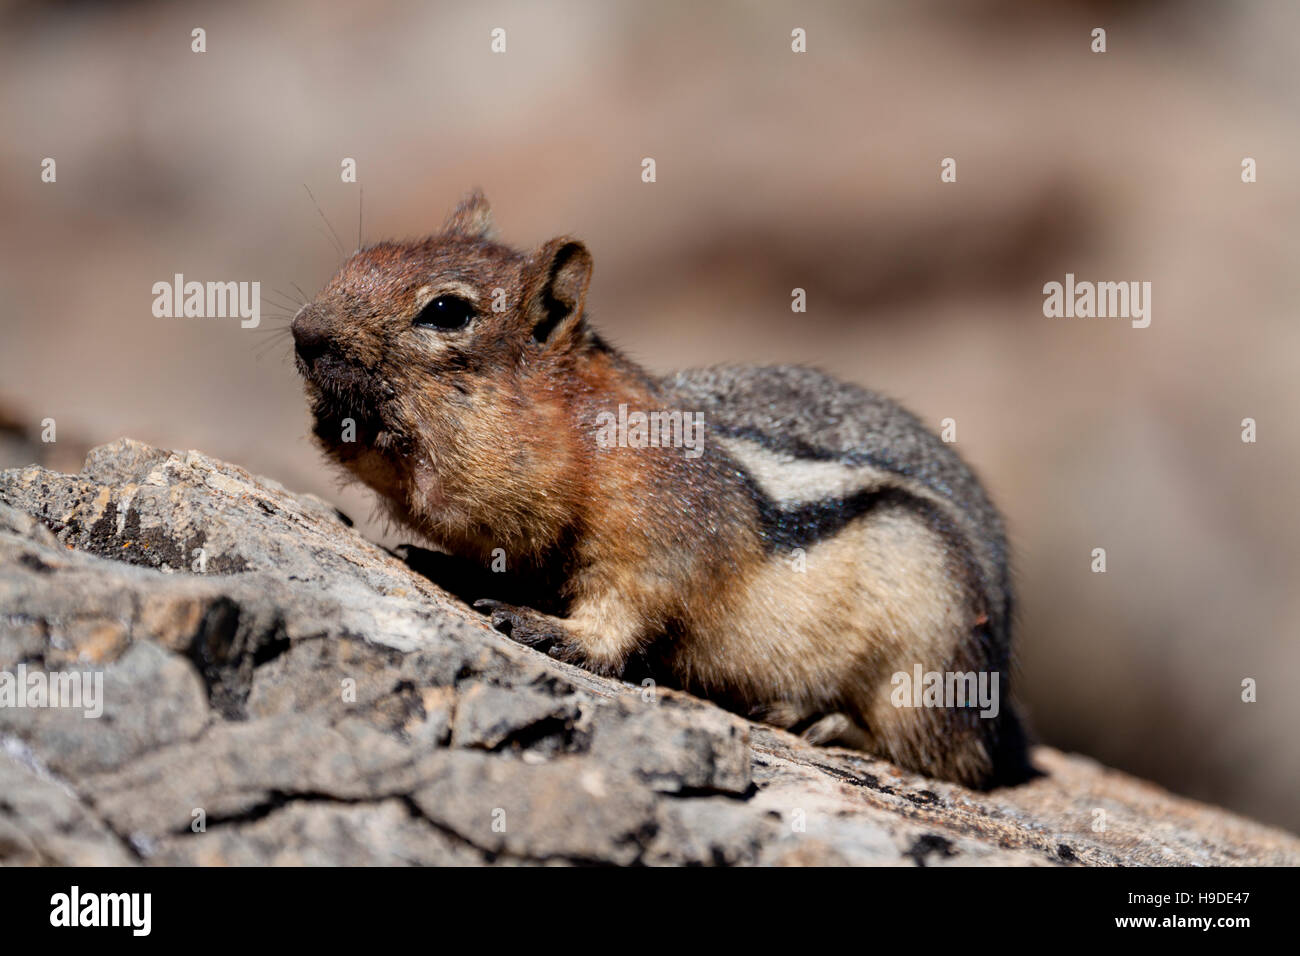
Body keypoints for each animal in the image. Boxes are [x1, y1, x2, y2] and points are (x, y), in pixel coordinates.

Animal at [290, 190, 1033, 789]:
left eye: (446, 311)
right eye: (360, 258)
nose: (304, 333)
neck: (590, 432)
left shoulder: (658, 534)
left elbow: (628, 608)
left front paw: (556, 632)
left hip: (929, 653)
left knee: (944, 755)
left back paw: (823, 720)